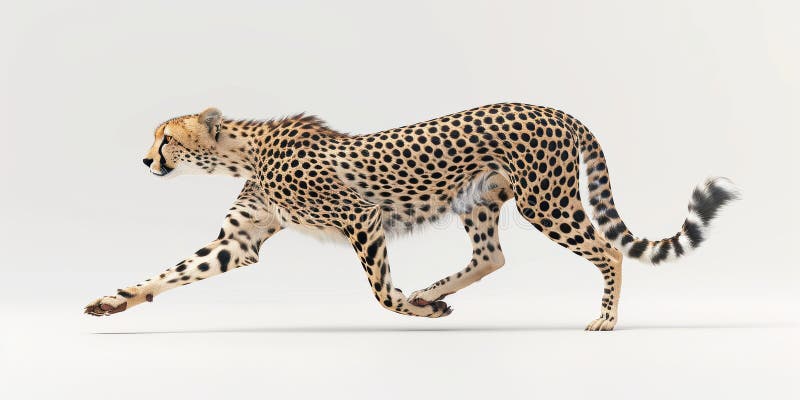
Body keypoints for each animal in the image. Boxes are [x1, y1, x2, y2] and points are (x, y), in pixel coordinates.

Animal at [84, 103, 739, 330]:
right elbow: (172, 273)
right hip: (481, 200)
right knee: (491, 256)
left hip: (545, 201)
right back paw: (435, 291)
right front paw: (113, 301)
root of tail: (559, 111)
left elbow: (380, 293)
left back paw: (605, 318)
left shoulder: (362, 220)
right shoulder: (240, 241)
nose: (146, 160)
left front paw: (414, 309)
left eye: (167, 138)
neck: (243, 151)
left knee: (605, 250)